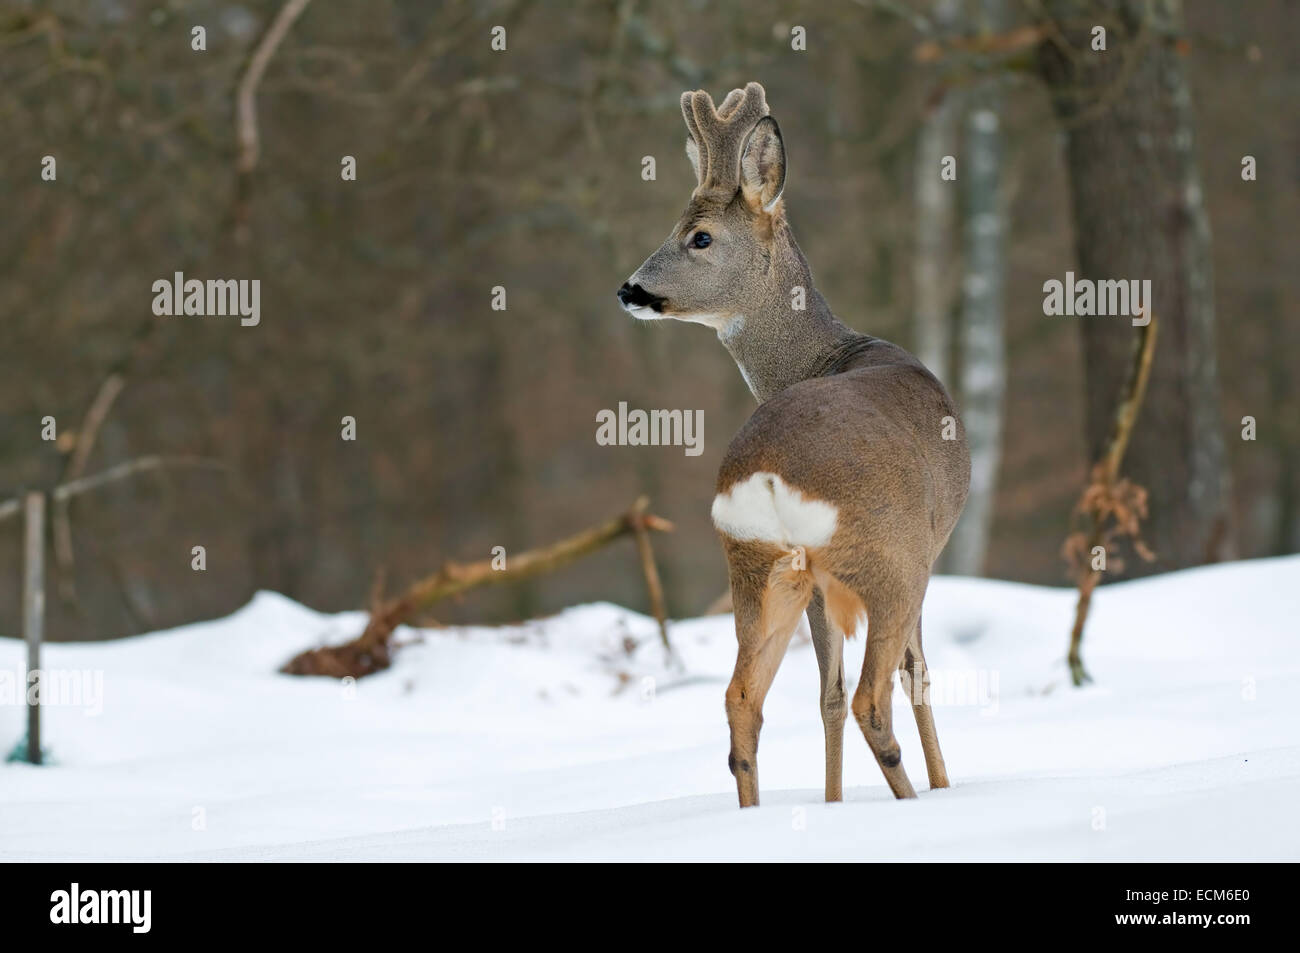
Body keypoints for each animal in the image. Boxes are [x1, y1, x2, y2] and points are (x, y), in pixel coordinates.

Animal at [617, 82, 971, 808]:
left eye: (698, 236)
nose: (628, 288)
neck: (829, 353)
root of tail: (770, 472)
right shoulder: (929, 549)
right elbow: (917, 675)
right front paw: (946, 784)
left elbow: (823, 692)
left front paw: (833, 802)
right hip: (886, 557)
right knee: (871, 695)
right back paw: (912, 798)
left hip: (760, 564)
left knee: (745, 696)